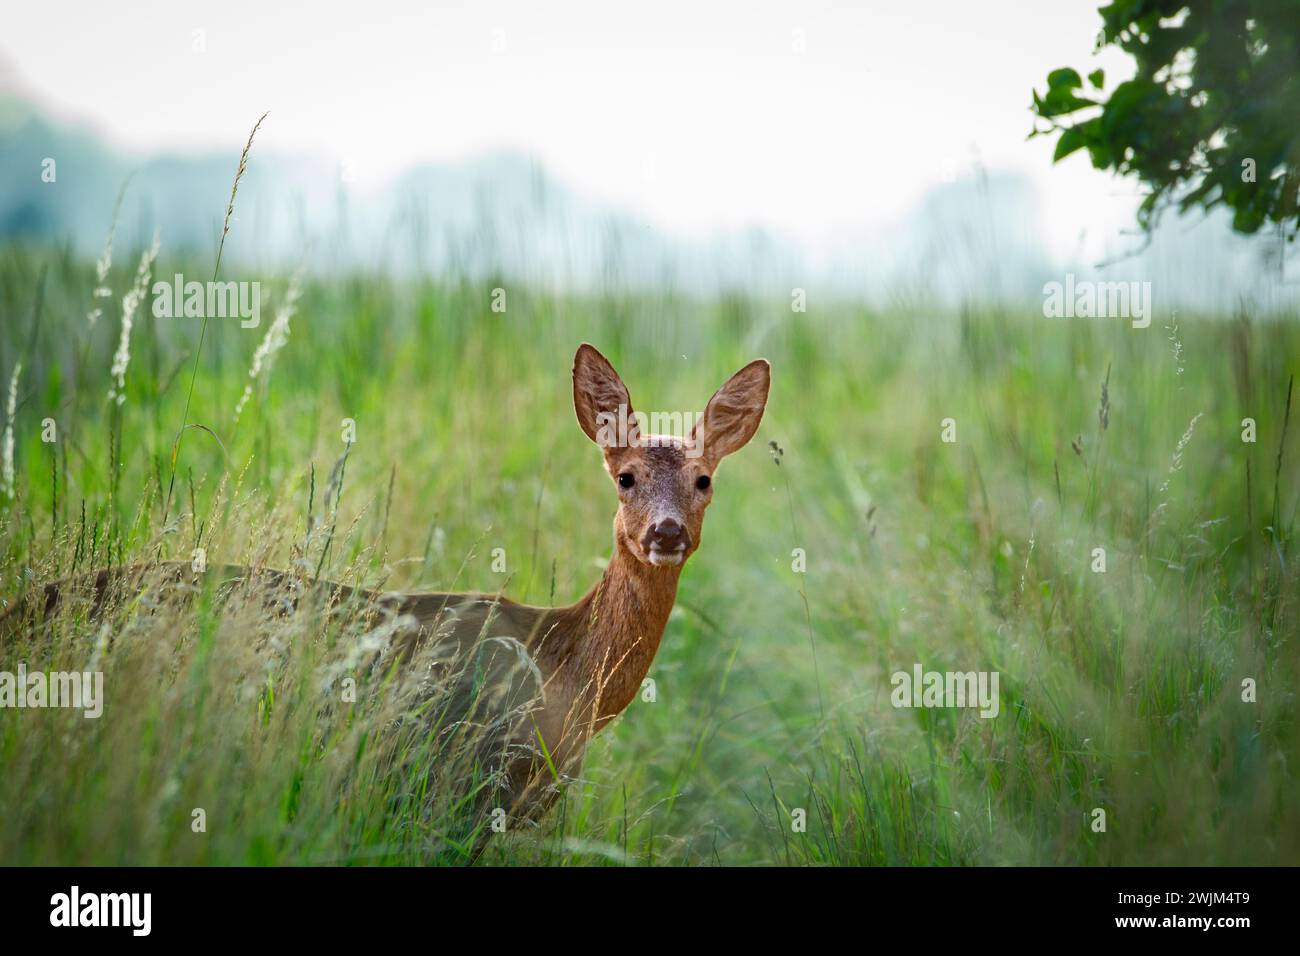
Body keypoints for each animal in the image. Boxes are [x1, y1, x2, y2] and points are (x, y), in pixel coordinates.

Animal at [1, 343, 771, 840]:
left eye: (704, 479)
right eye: (625, 477)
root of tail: (24, 610)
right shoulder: (462, 778)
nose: (667, 531)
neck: (566, 669)